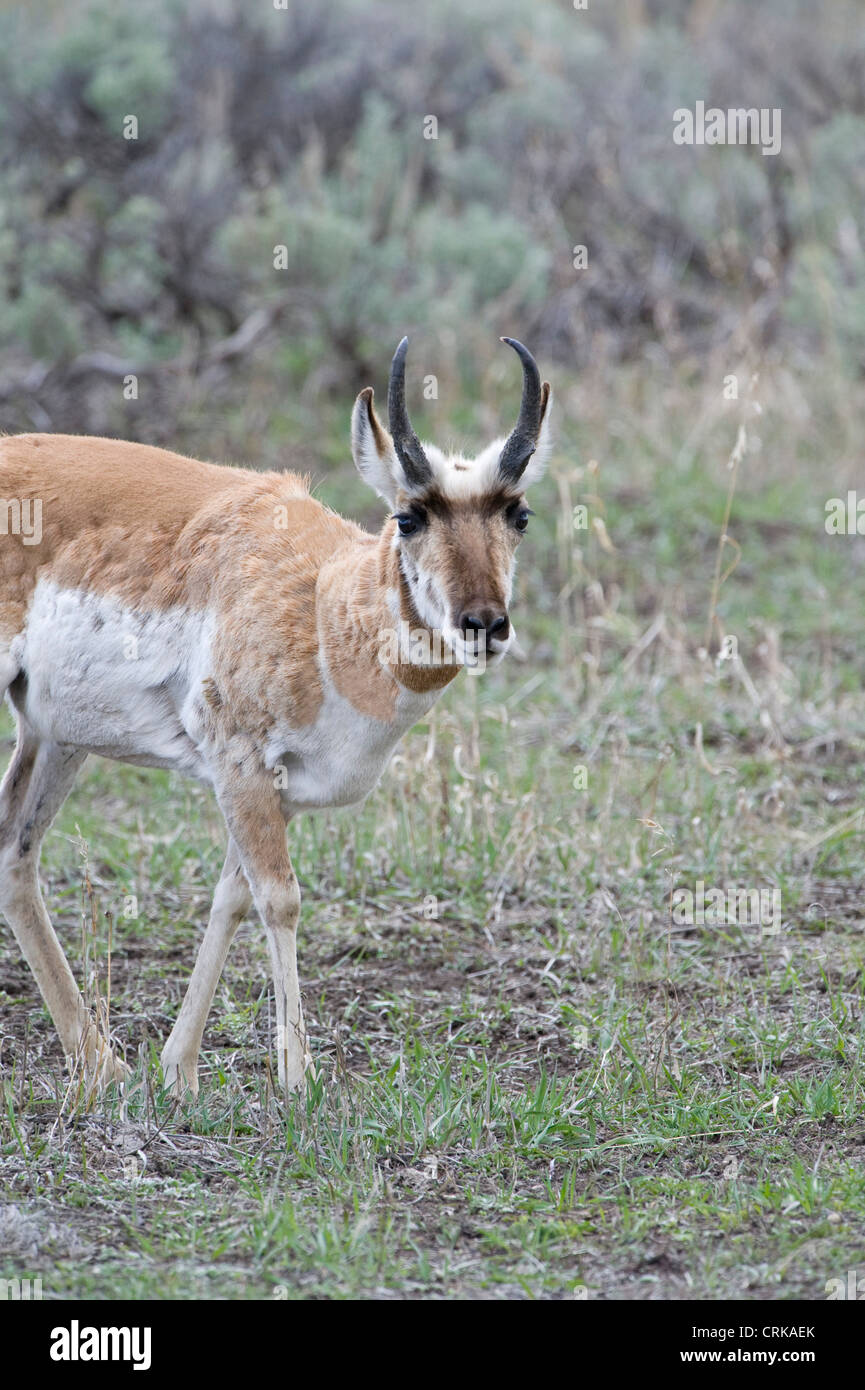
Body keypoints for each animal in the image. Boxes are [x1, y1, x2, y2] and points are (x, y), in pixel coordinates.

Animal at [0, 337, 552, 1094]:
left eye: (518, 516)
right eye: (409, 517)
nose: (484, 625)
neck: (319, 596)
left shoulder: (275, 791)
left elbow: (232, 896)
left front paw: (178, 1068)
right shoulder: (239, 767)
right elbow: (279, 898)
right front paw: (298, 1077)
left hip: (55, 737)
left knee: (13, 854)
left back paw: (101, 1063)